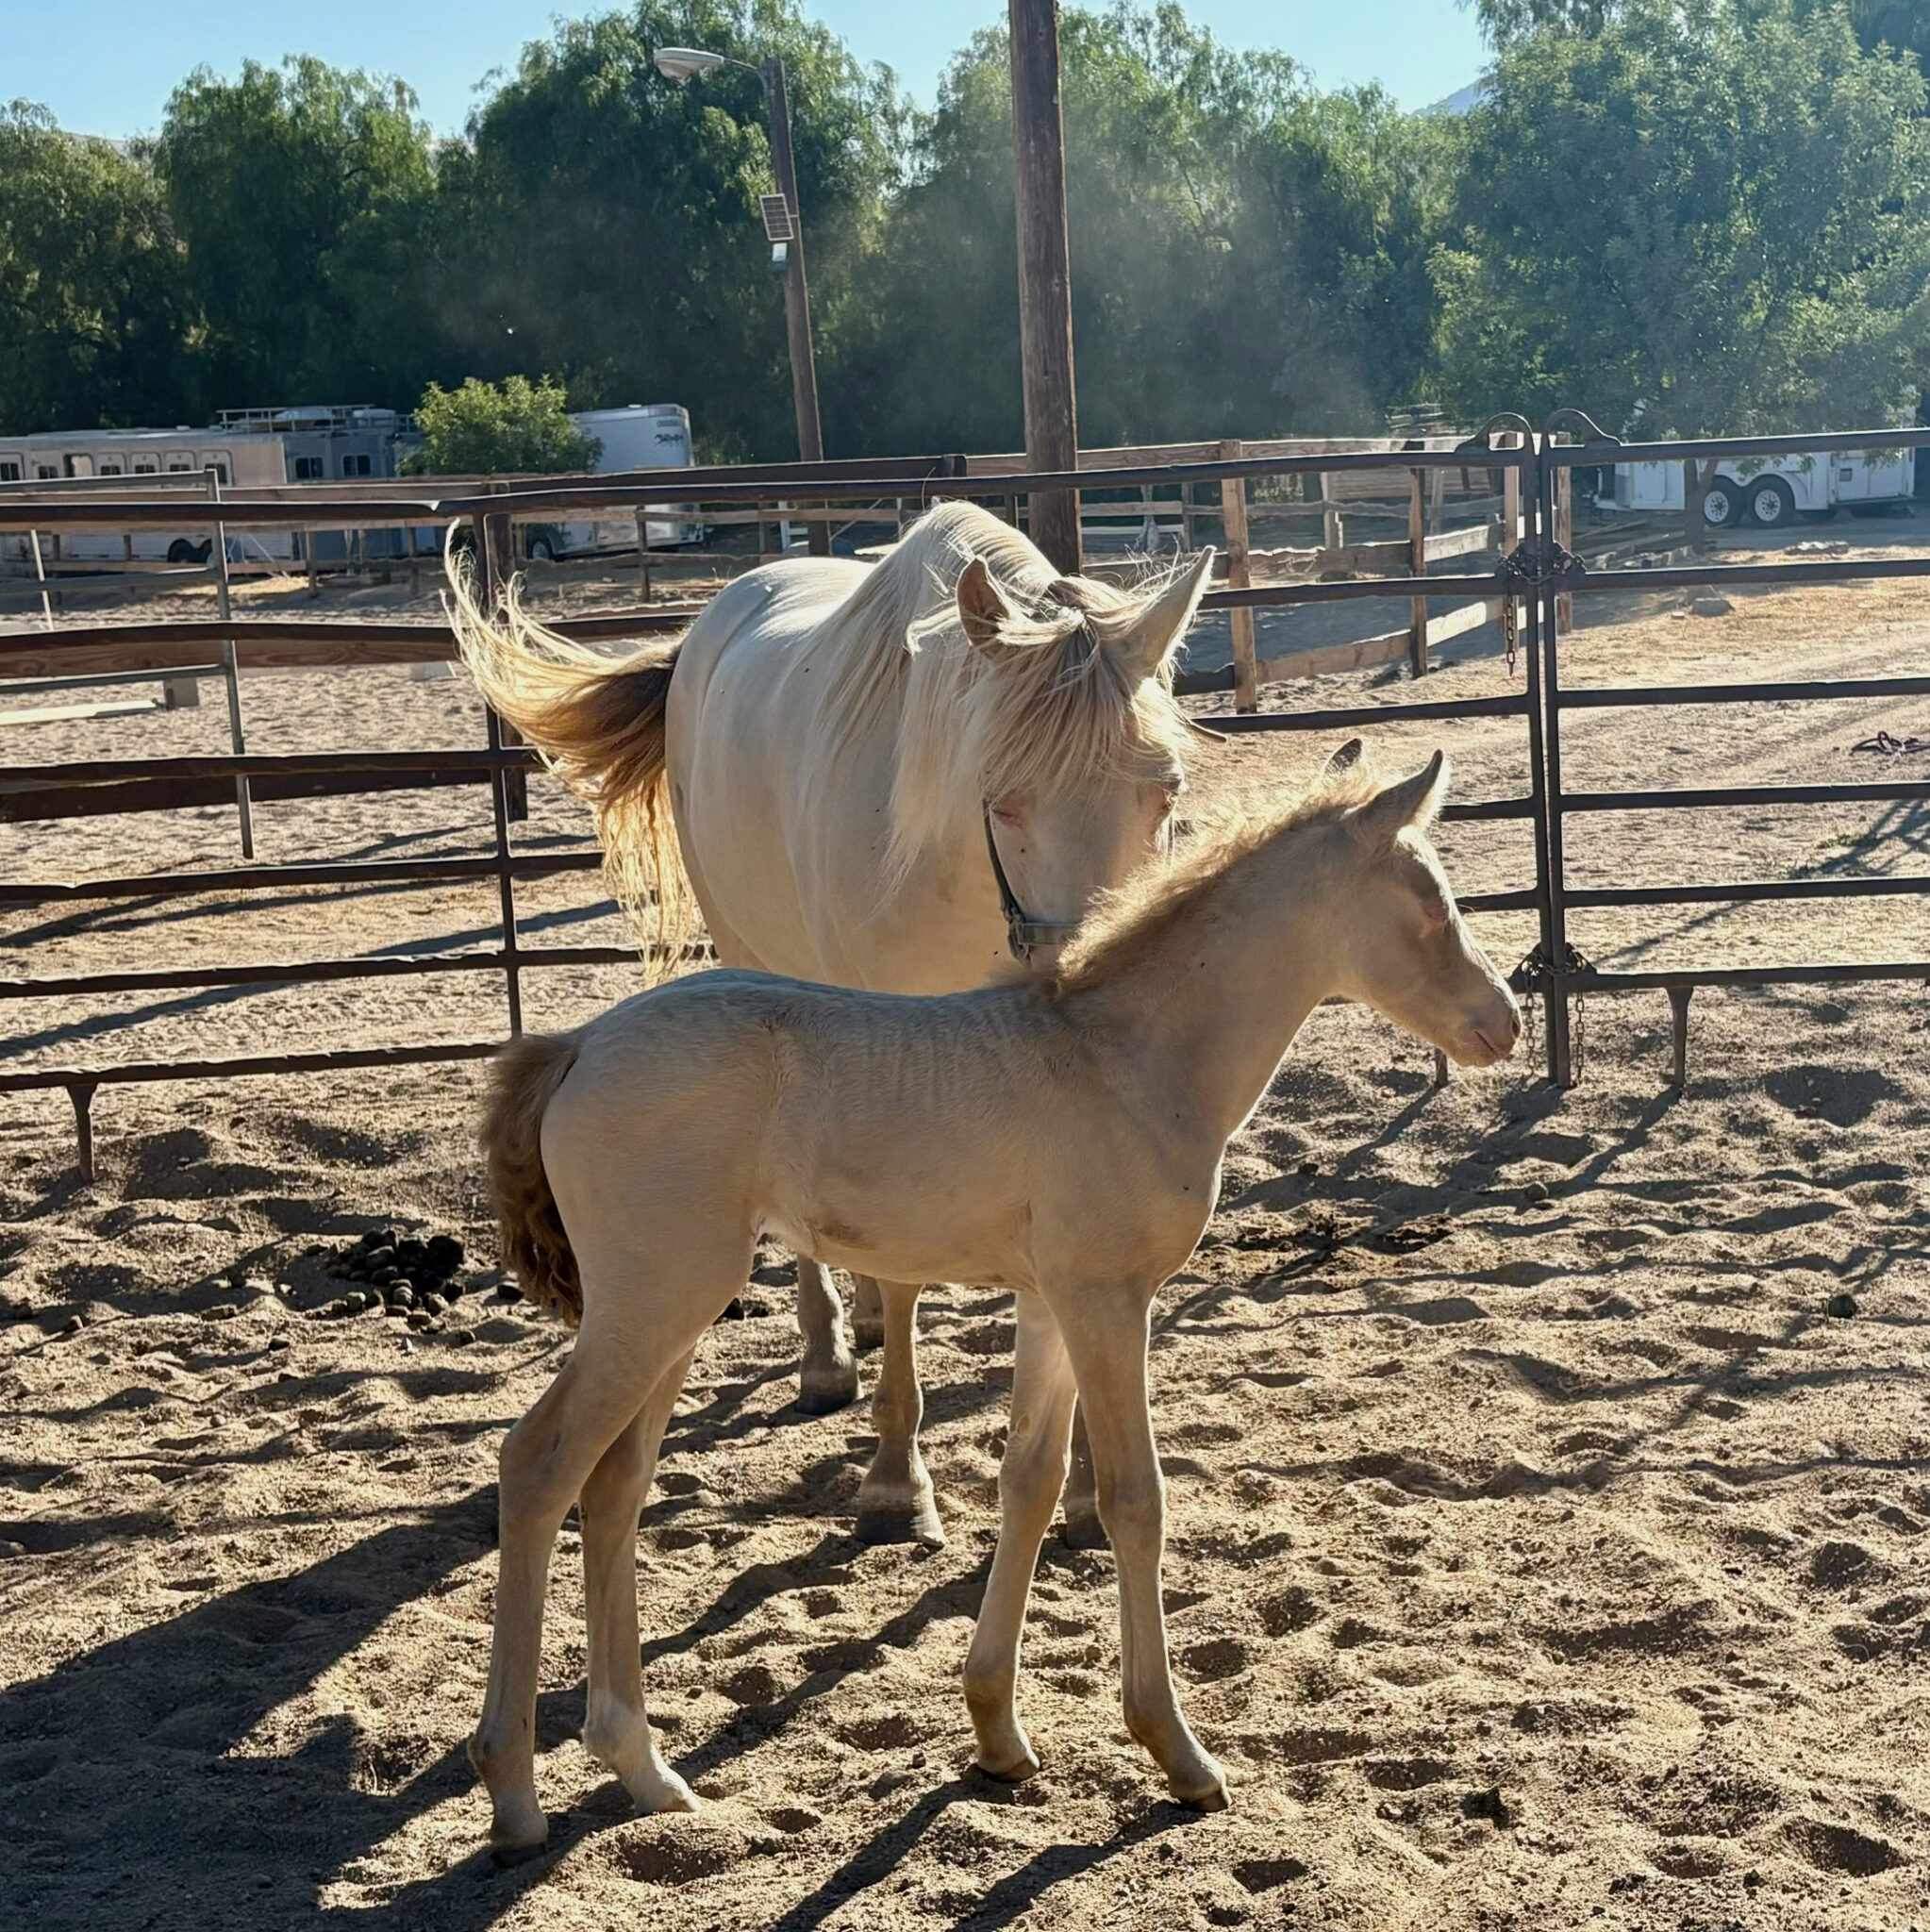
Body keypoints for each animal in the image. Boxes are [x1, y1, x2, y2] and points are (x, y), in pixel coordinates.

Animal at [450, 500, 1215, 1548]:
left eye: (1165, 788)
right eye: (1001, 795)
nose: (1099, 953)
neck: (952, 870)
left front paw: (1091, 1488)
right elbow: (913, 1291)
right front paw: (897, 1478)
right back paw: (827, 1356)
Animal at [467, 743, 1521, 1853]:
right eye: (1430, 901)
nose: (1505, 1022)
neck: (1128, 1058)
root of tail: (575, 1046)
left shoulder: (1053, 1301)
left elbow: (1031, 1481)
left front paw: (998, 1734)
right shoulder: (1110, 1299)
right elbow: (1135, 1497)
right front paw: (1177, 1752)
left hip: (668, 1311)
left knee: (614, 1485)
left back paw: (644, 1766)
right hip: (654, 1301)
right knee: (538, 1466)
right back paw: (514, 1789)